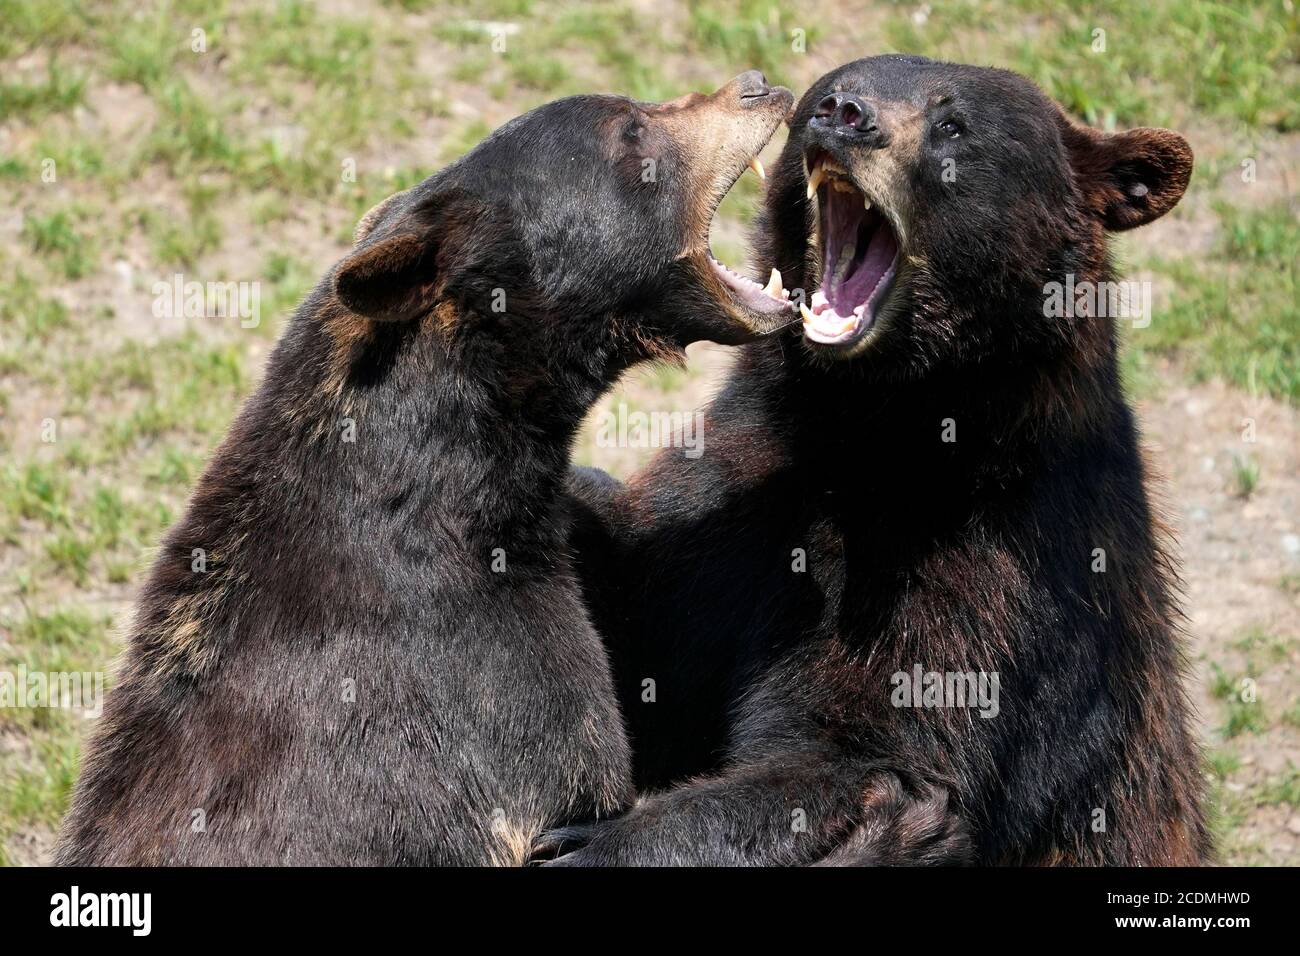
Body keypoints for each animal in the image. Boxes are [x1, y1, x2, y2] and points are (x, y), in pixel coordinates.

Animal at [543, 55, 1208, 866]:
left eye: (953, 123)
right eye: (830, 88)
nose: (845, 114)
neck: (875, 426)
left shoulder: (993, 564)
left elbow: (864, 748)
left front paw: (590, 840)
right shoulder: (746, 481)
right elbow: (635, 629)